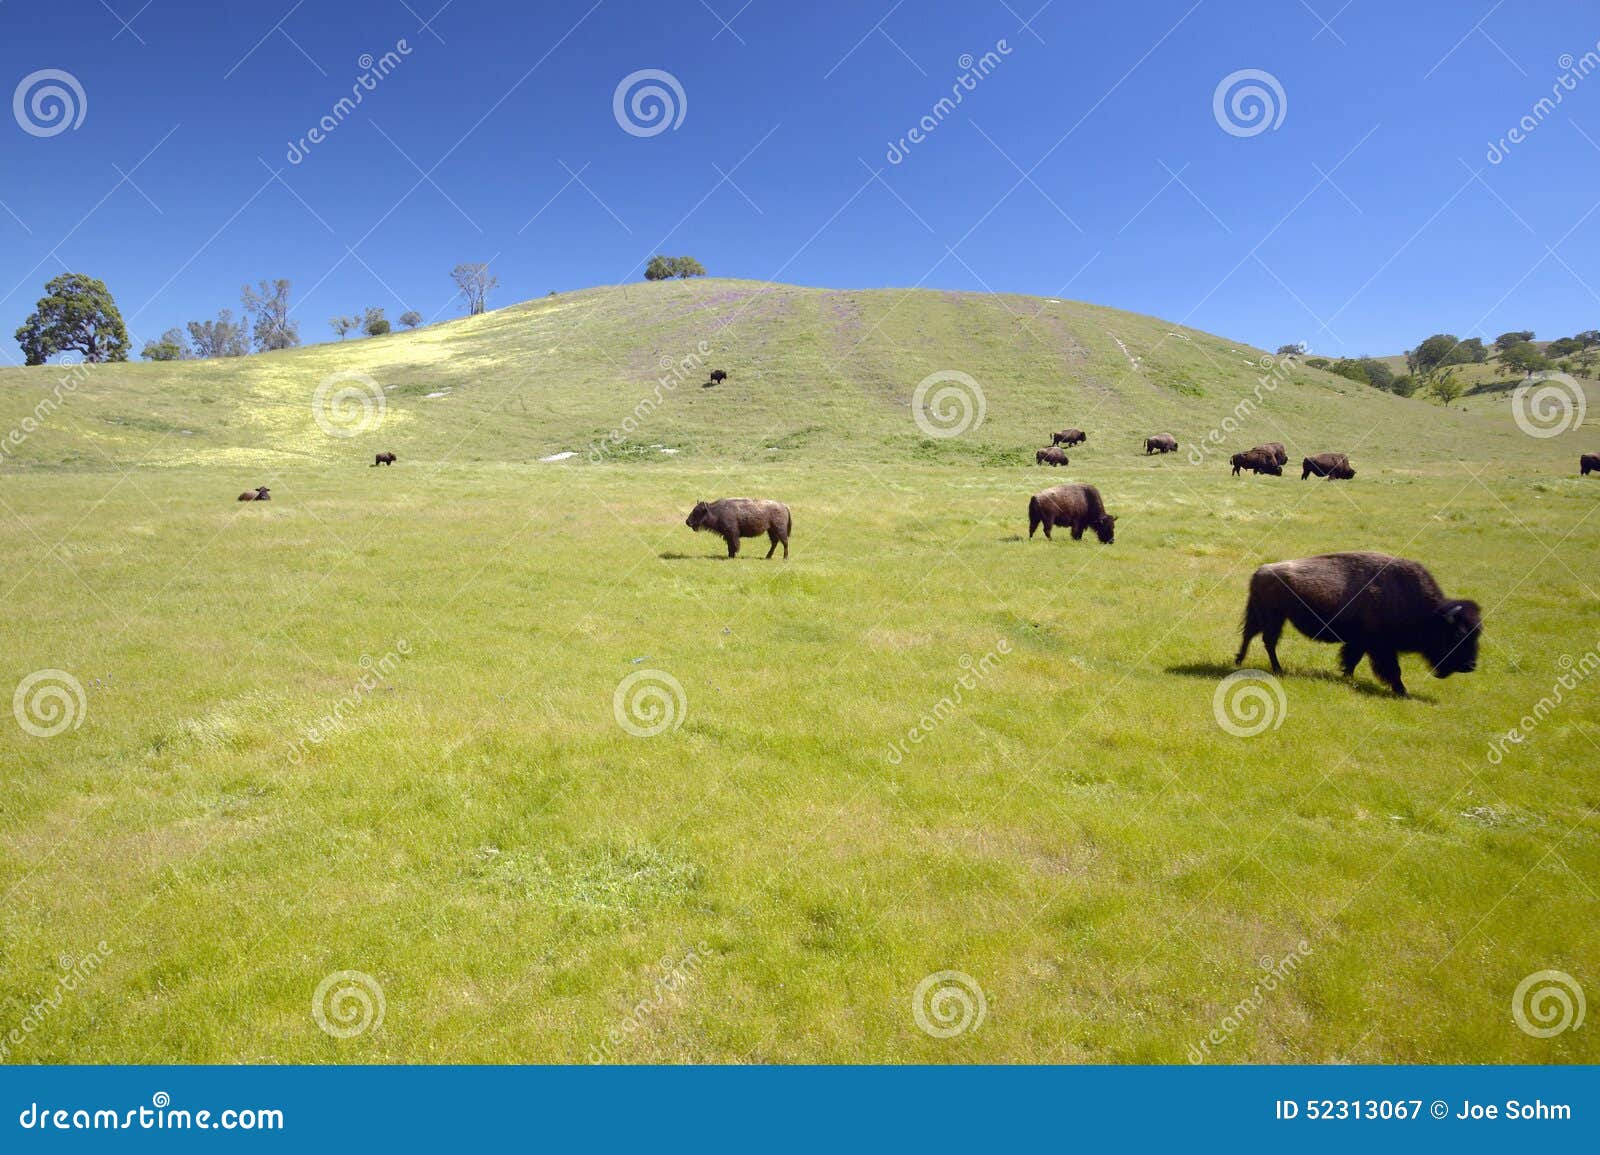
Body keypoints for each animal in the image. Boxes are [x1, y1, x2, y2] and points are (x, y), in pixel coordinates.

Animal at [1236, 551, 1481, 696]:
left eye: (1477, 634)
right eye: (1457, 635)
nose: (1470, 666)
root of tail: (1261, 570)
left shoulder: (1361, 643)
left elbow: (1352, 659)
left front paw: (1347, 677)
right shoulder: (1381, 647)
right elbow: (1393, 669)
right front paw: (1402, 691)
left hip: (1262, 616)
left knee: (1250, 635)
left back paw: (1240, 660)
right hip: (1273, 618)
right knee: (1268, 641)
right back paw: (1278, 669)